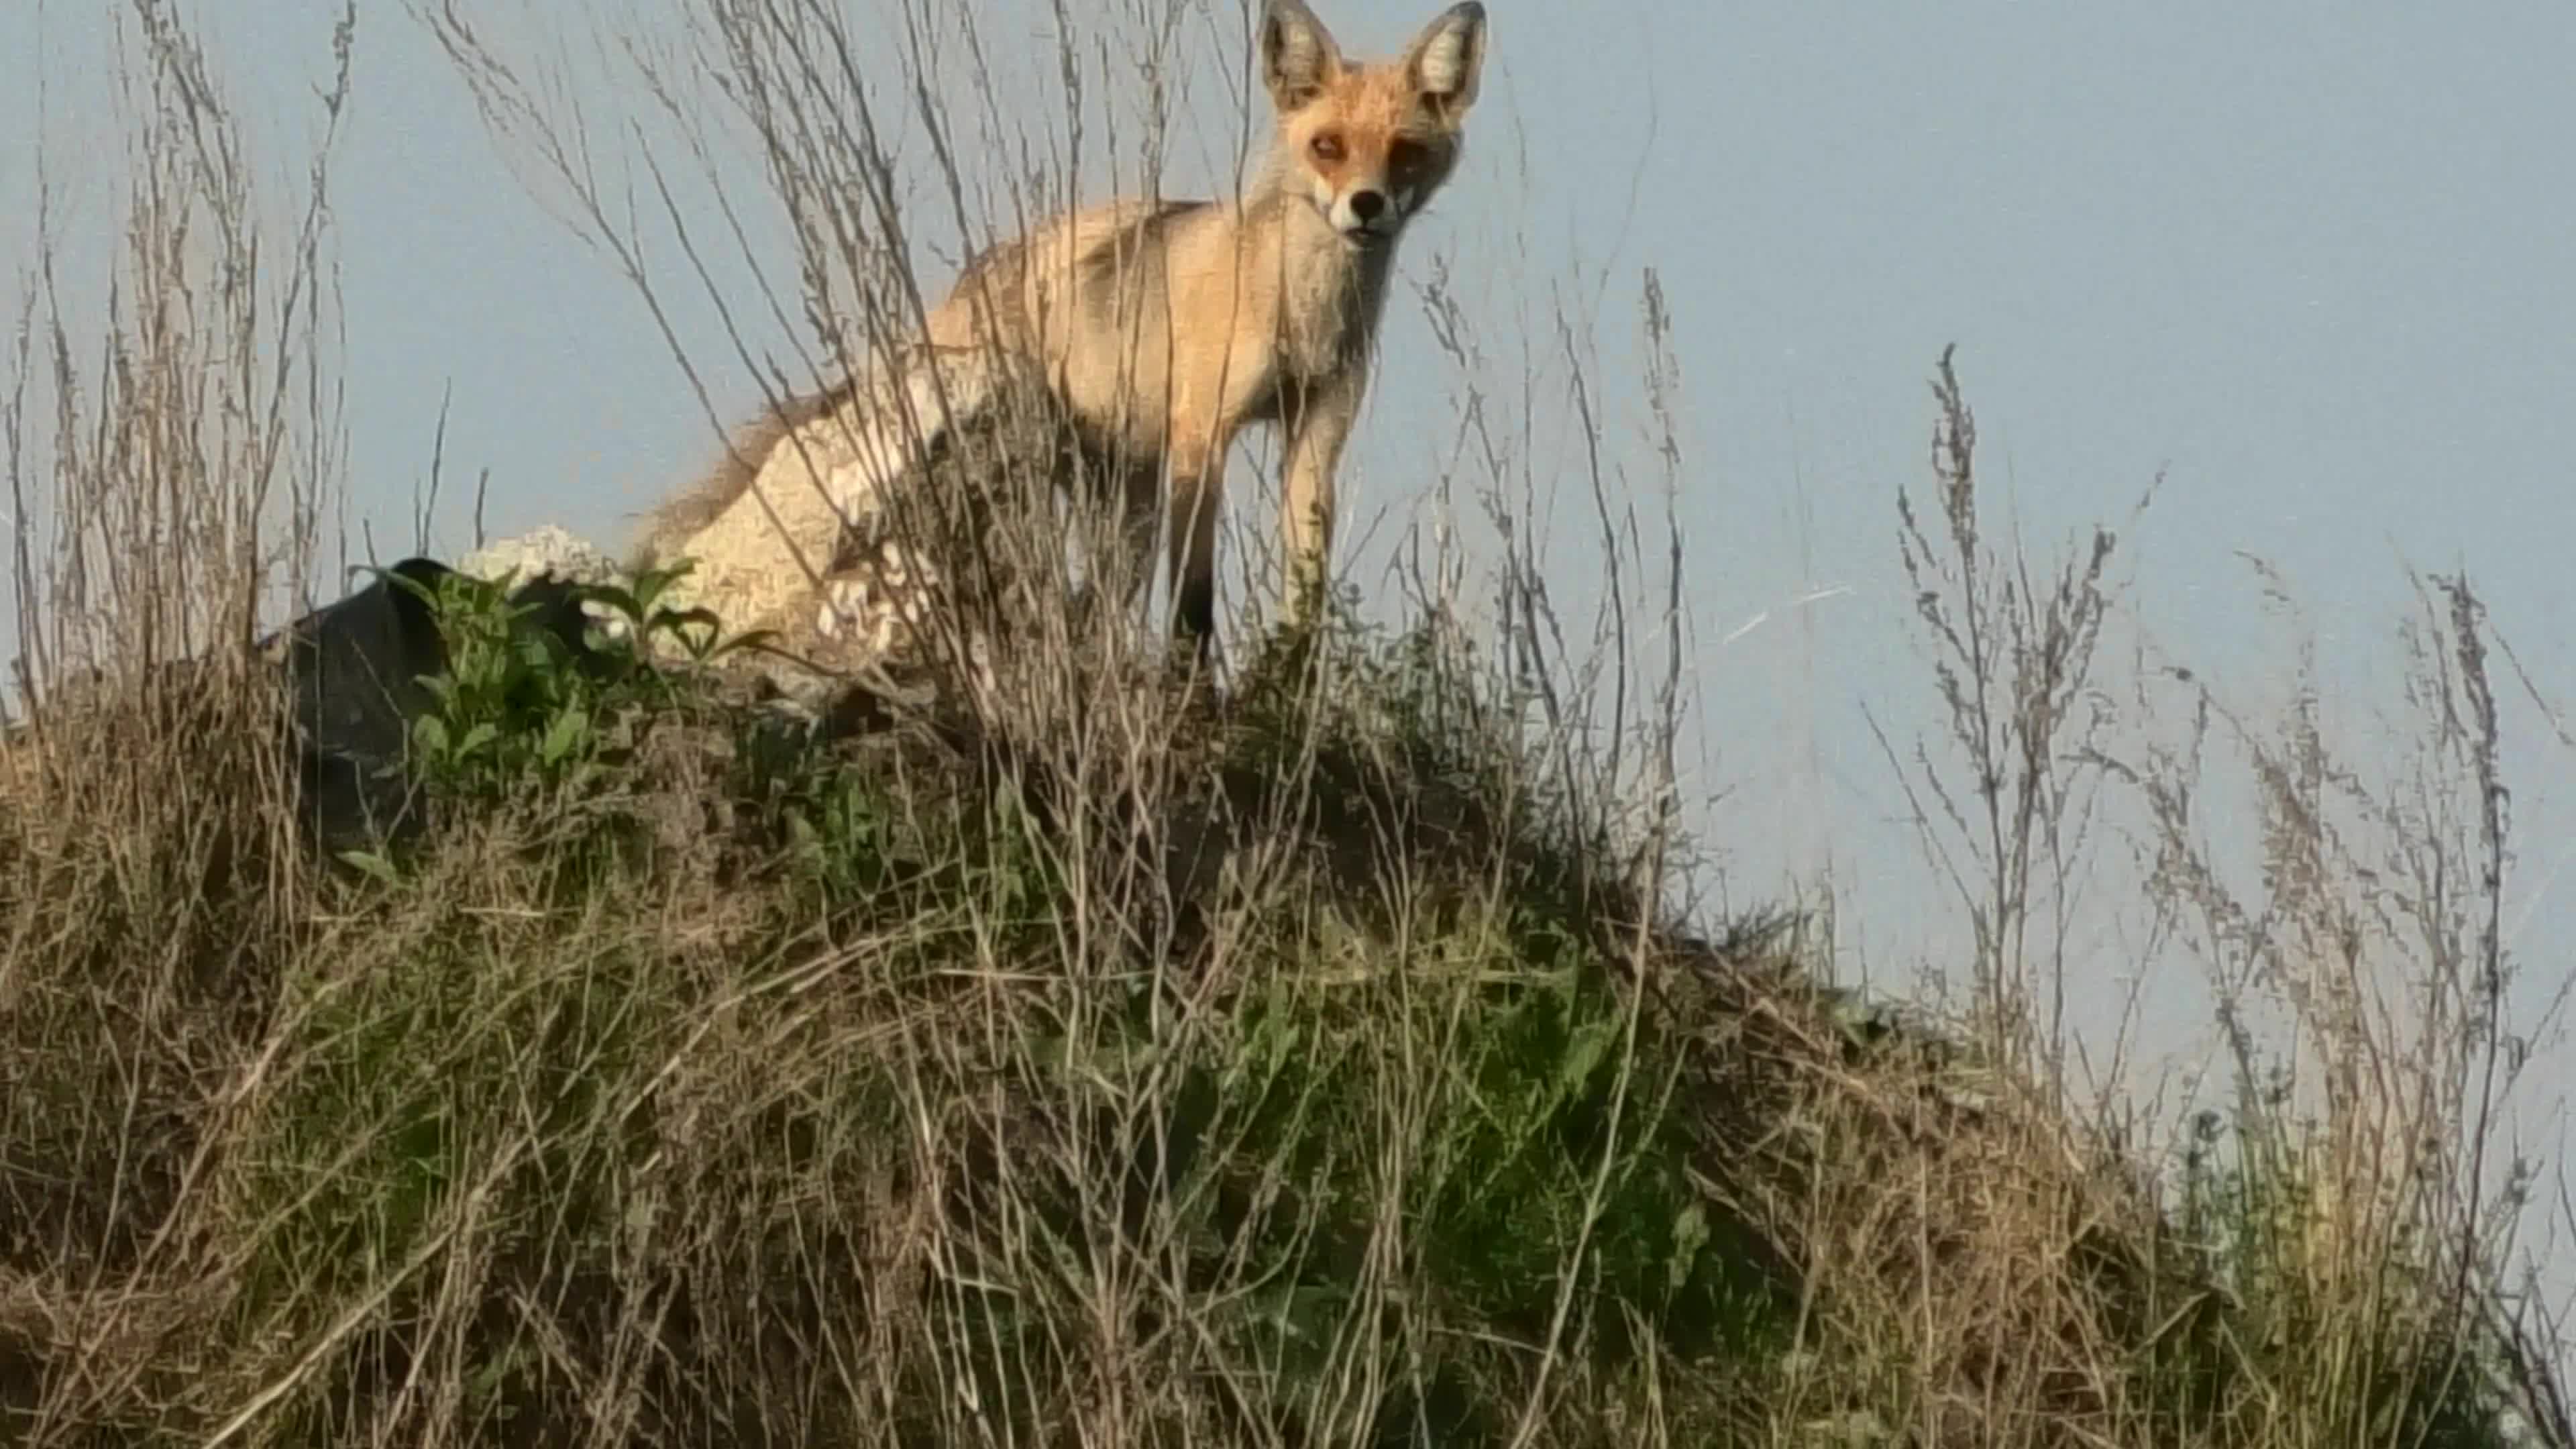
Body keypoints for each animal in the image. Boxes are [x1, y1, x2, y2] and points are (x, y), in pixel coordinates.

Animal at [626, 0, 1504, 659]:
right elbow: (1194, 604)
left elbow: (1306, 594)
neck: (1300, 313)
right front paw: (1196, 688)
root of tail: (967, 284)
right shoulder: (1203, 436)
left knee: (1093, 603)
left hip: (1122, 499)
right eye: (1328, 147)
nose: (1366, 207)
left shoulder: (1315, 434)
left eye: (1405, 153)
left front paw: (1285, 687)